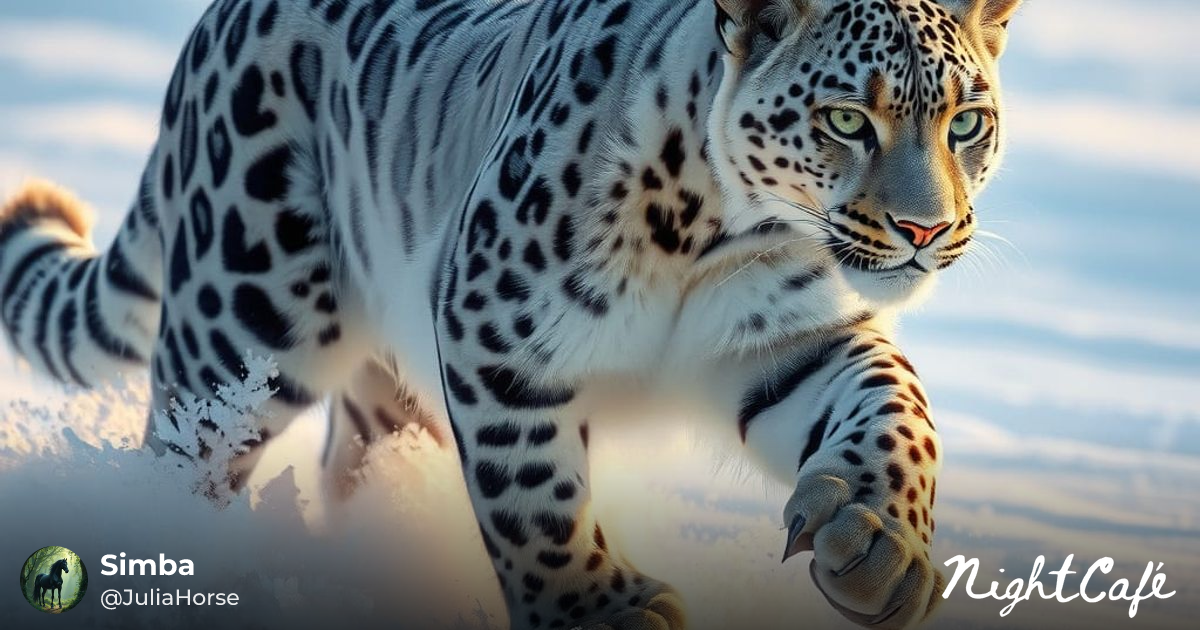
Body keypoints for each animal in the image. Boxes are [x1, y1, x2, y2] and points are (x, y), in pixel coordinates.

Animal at [0, 0, 1022, 628]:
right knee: (188, 452)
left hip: (382, 385)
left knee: (351, 466)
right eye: (848, 119)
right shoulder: (495, 328)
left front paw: (877, 544)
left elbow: (897, 411)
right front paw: (603, 611)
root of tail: (208, 27)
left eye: (966, 123)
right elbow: (533, 494)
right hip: (243, 307)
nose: (926, 229)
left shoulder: (792, 342)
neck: (715, 233)